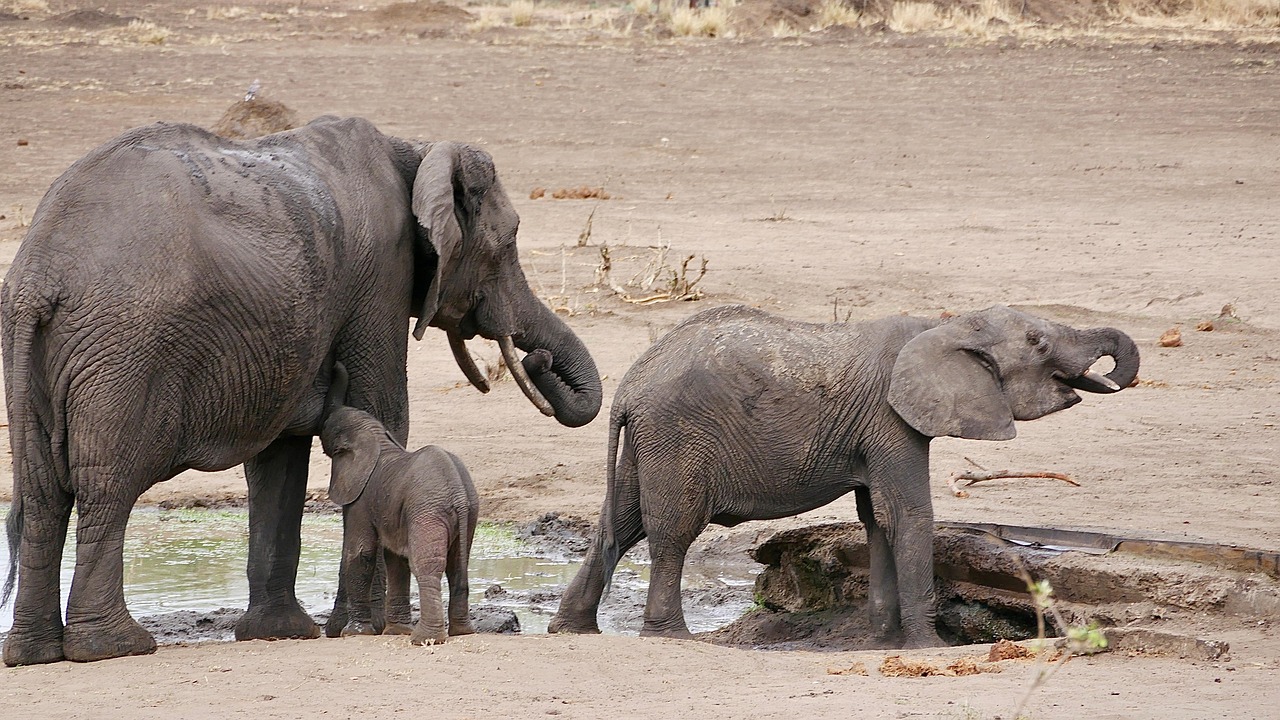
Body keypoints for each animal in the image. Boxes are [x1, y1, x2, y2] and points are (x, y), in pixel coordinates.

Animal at [319, 363, 479, 646]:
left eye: (328, 426)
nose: (336, 365)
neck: (375, 436)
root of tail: (460, 494)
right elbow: (395, 560)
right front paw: (395, 631)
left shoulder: (360, 498)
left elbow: (360, 553)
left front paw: (354, 633)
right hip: (469, 513)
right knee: (457, 566)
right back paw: (462, 632)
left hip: (428, 513)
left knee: (427, 566)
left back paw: (424, 639)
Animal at [548, 304, 1138, 648]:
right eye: (1039, 343)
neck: (943, 324)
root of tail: (629, 386)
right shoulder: (891, 419)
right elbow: (907, 514)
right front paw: (928, 649)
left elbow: (876, 518)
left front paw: (882, 639)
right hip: (678, 436)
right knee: (672, 531)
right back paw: (675, 637)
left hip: (649, 442)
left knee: (620, 524)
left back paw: (571, 629)